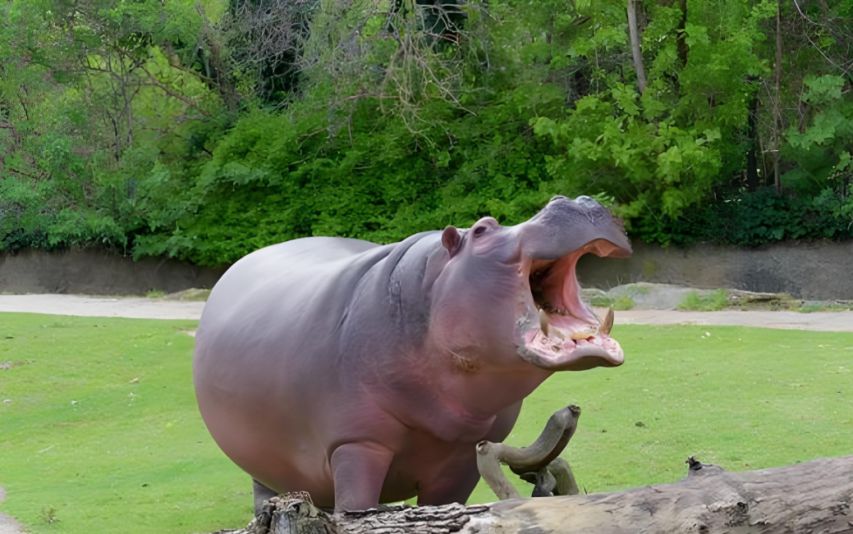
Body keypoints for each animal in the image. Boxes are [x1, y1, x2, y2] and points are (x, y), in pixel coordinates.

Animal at [193, 195, 631, 512]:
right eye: (481, 229)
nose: (577, 201)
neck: (431, 285)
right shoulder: (355, 444)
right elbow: (355, 506)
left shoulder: (462, 456)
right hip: (266, 467)